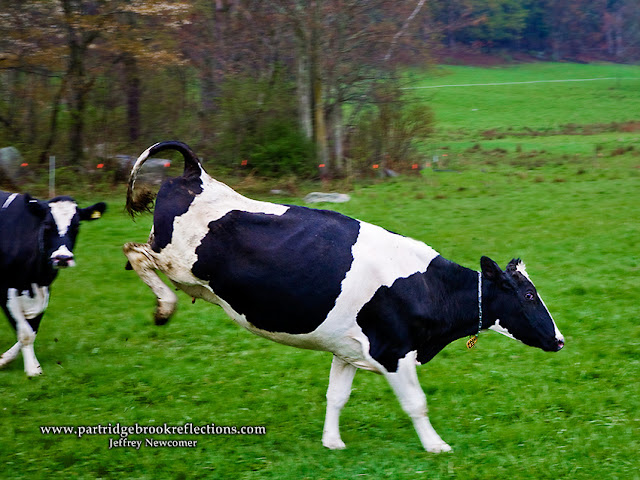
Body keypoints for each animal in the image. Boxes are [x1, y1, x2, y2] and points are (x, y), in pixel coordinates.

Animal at [0, 191, 106, 376]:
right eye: (47, 225)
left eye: (77, 226)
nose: (62, 258)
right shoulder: (4, 288)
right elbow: (25, 332)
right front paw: (32, 370)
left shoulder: (44, 290)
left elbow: (32, 329)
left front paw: (9, 359)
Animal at [123, 141, 564, 453]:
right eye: (528, 295)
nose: (559, 340)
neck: (426, 287)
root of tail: (196, 173)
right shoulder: (394, 350)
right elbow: (416, 403)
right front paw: (436, 445)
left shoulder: (347, 349)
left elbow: (336, 396)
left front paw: (332, 442)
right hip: (175, 260)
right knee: (135, 253)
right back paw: (164, 307)